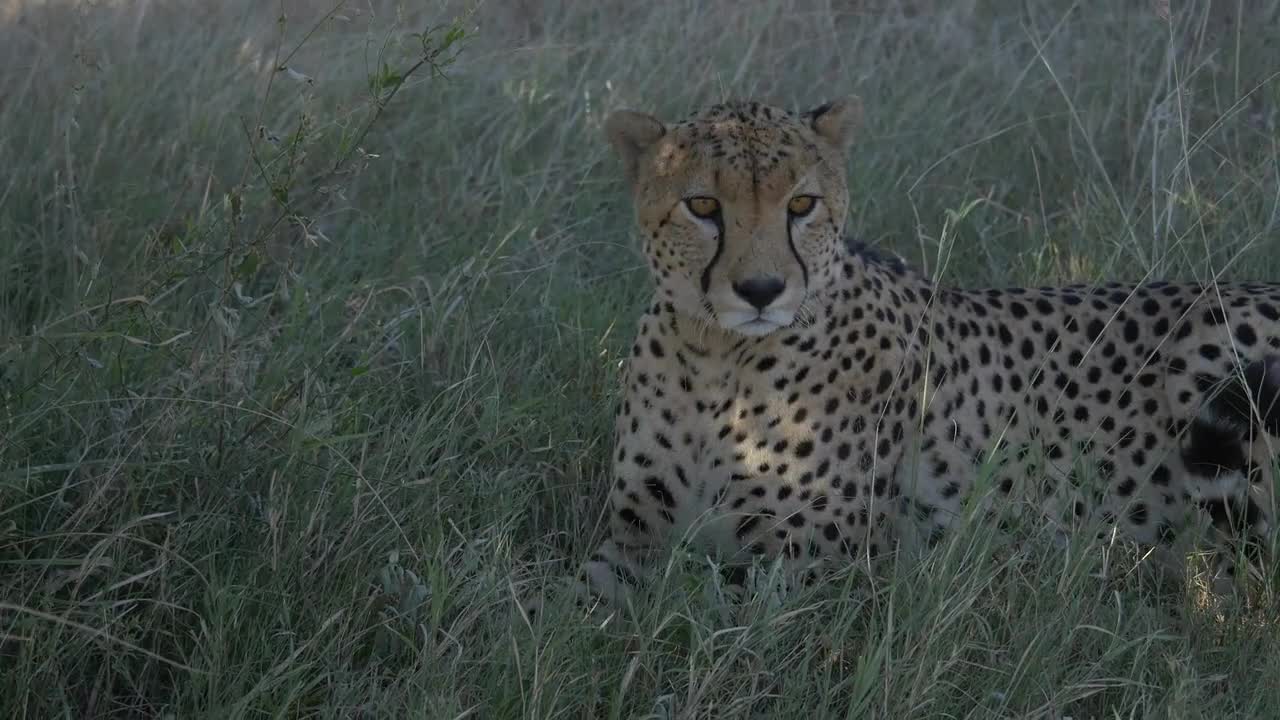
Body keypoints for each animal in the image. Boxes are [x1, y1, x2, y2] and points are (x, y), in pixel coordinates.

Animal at [583, 96, 1280, 607]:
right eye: (703, 205)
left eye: (801, 204)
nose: (761, 290)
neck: (719, 358)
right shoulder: (630, 542)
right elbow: (571, 605)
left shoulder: (811, 571)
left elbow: (695, 608)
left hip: (1217, 343)